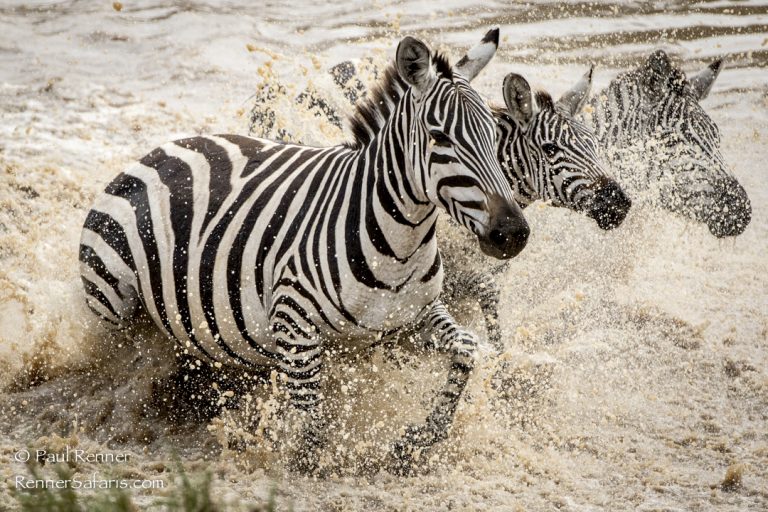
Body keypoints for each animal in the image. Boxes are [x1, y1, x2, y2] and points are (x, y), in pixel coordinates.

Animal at [78, 29, 530, 474]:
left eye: (495, 134)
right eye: (439, 138)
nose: (512, 233)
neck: (398, 248)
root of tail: (161, 150)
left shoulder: (410, 318)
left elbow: (468, 350)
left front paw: (418, 440)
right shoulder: (293, 325)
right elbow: (312, 420)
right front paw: (303, 465)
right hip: (111, 305)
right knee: (117, 368)